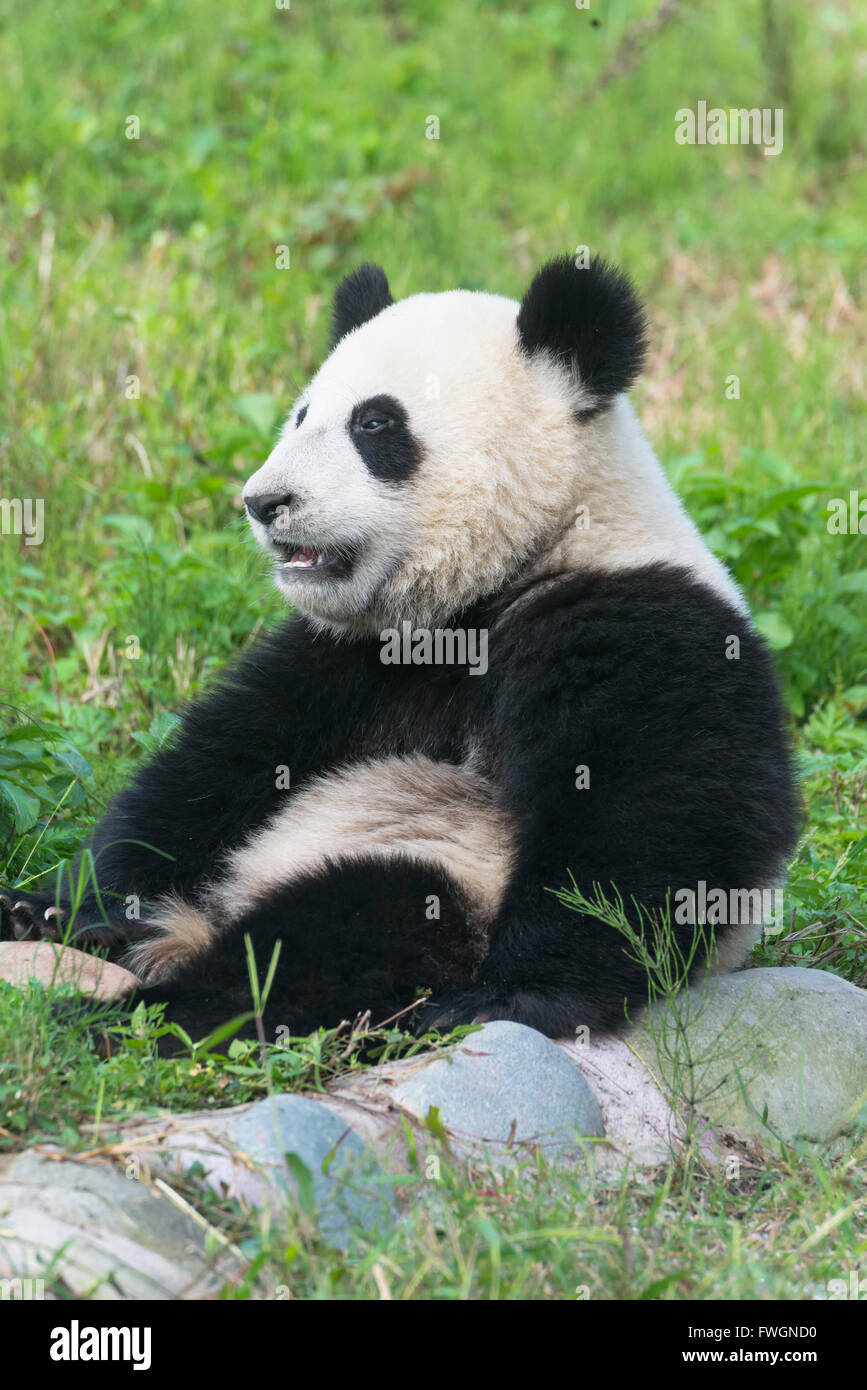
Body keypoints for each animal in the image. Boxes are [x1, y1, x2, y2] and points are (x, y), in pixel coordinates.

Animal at [0, 256, 798, 1044]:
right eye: (301, 414)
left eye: (374, 423)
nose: (264, 502)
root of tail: (201, 923)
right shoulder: (352, 655)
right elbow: (217, 769)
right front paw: (76, 900)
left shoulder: (642, 622)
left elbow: (650, 823)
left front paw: (507, 996)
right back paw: (55, 924)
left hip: (441, 868)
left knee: (344, 932)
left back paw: (127, 1013)